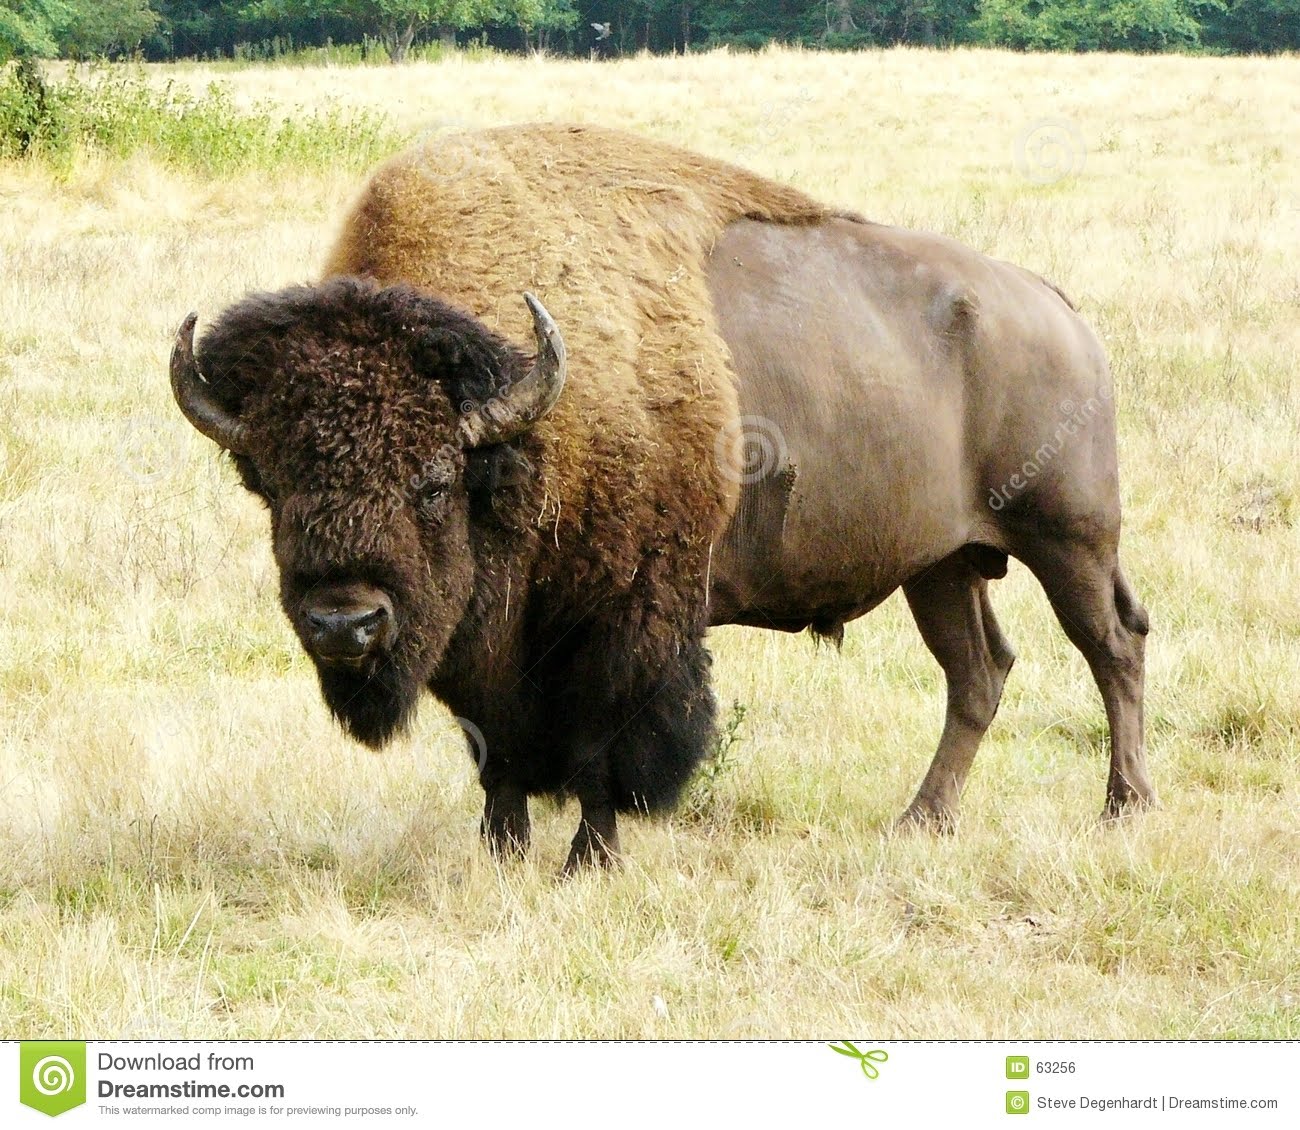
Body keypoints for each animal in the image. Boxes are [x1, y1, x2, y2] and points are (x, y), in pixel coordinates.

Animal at [170, 124, 1153, 872]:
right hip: (942, 565)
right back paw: (921, 822)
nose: (344, 623)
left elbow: (607, 752)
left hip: (1067, 537)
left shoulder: (626, 619)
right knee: (978, 673)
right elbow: (497, 752)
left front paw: (588, 863)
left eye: (436, 480)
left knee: (1112, 646)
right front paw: (502, 854)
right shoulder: (492, 648)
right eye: (271, 485)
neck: (532, 418)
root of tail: (1056, 308)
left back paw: (1124, 808)